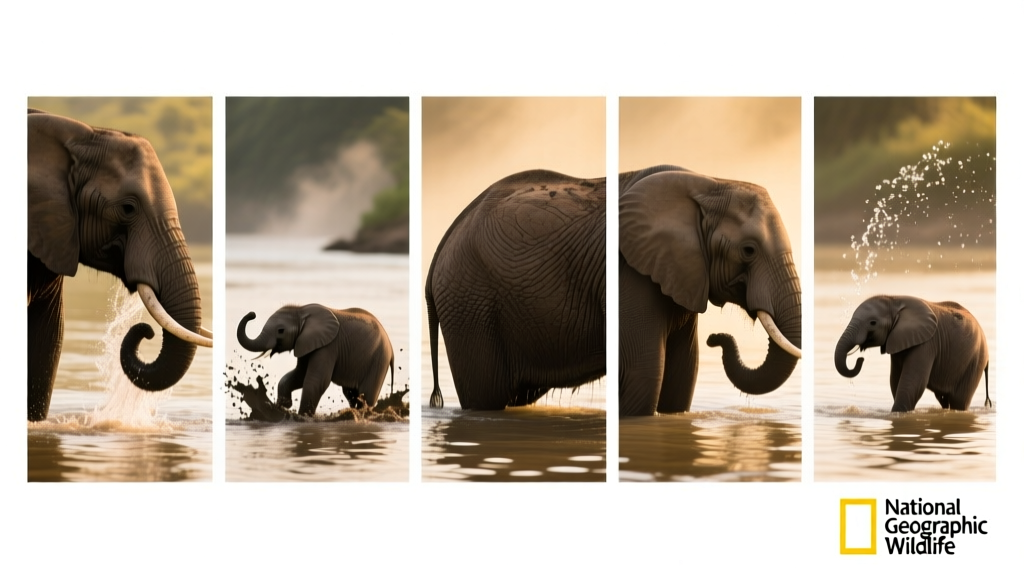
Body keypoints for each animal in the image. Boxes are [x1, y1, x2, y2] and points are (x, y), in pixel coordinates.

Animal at [236, 304, 395, 415]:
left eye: (281, 331)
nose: (252, 314)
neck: (301, 311)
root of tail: (391, 349)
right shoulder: (305, 343)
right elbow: (299, 375)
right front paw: (283, 405)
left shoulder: (328, 346)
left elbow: (315, 381)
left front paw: (302, 416)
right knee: (351, 394)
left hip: (379, 360)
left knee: (366, 396)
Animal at [619, 166, 802, 416]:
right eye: (748, 250)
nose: (714, 338)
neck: (709, 183)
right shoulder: (634, 277)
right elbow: (643, 375)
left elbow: (684, 377)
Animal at [834, 295, 991, 412]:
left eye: (873, 322)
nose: (860, 359)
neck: (894, 299)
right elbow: (895, 381)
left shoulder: (926, 343)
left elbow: (912, 383)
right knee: (944, 399)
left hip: (976, 360)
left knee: (959, 400)